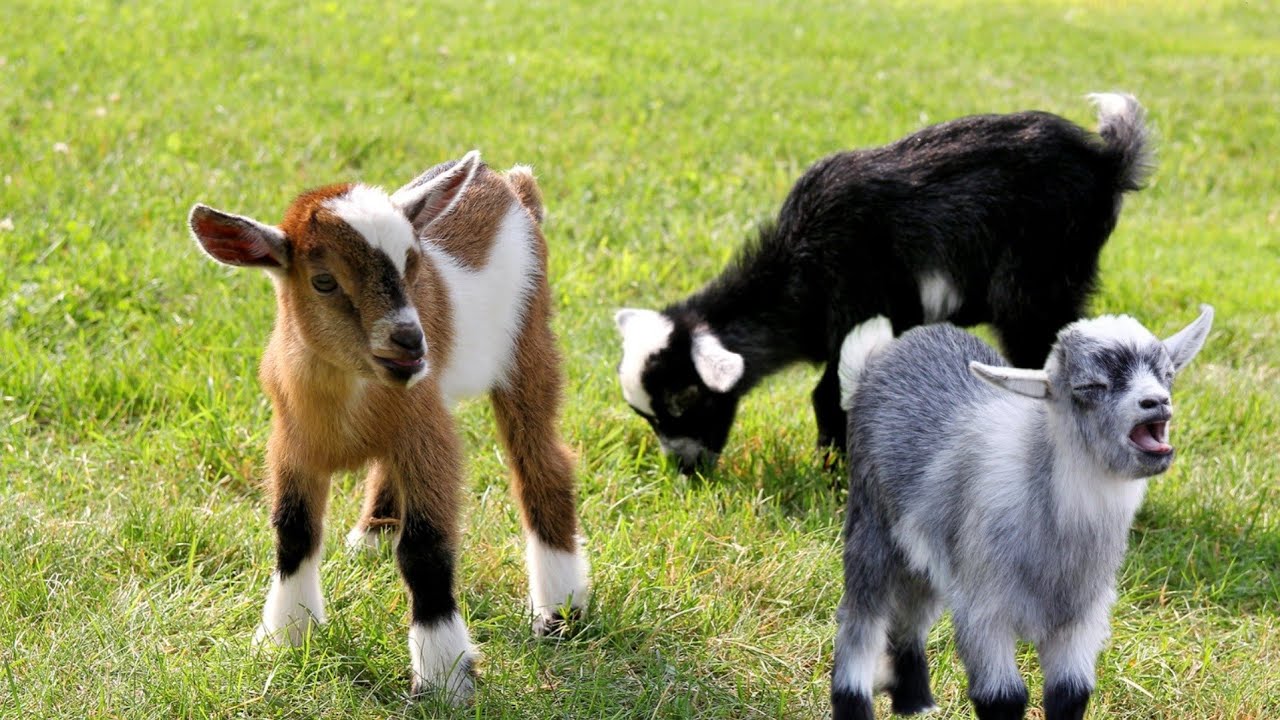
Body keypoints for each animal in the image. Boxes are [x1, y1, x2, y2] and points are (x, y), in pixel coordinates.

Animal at [187, 151, 589, 702]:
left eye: (412, 264)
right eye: (324, 280)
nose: (410, 341)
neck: (347, 396)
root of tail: (512, 185)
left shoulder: (428, 435)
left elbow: (424, 550)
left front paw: (443, 677)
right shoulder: (291, 444)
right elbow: (293, 533)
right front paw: (285, 639)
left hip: (529, 343)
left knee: (541, 461)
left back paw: (559, 612)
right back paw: (372, 537)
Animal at [615, 93, 1153, 474]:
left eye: (685, 399)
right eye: (647, 415)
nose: (684, 468)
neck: (799, 272)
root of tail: (1106, 160)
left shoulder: (861, 310)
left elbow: (829, 396)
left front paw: (836, 476)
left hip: (1036, 287)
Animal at [829, 306, 1213, 720]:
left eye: (1167, 375)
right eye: (1088, 386)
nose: (1157, 401)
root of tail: (878, 358)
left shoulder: (1080, 620)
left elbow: (1070, 693)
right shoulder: (984, 609)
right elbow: (1003, 697)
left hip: (924, 554)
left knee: (911, 615)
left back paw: (916, 704)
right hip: (871, 525)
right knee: (860, 619)